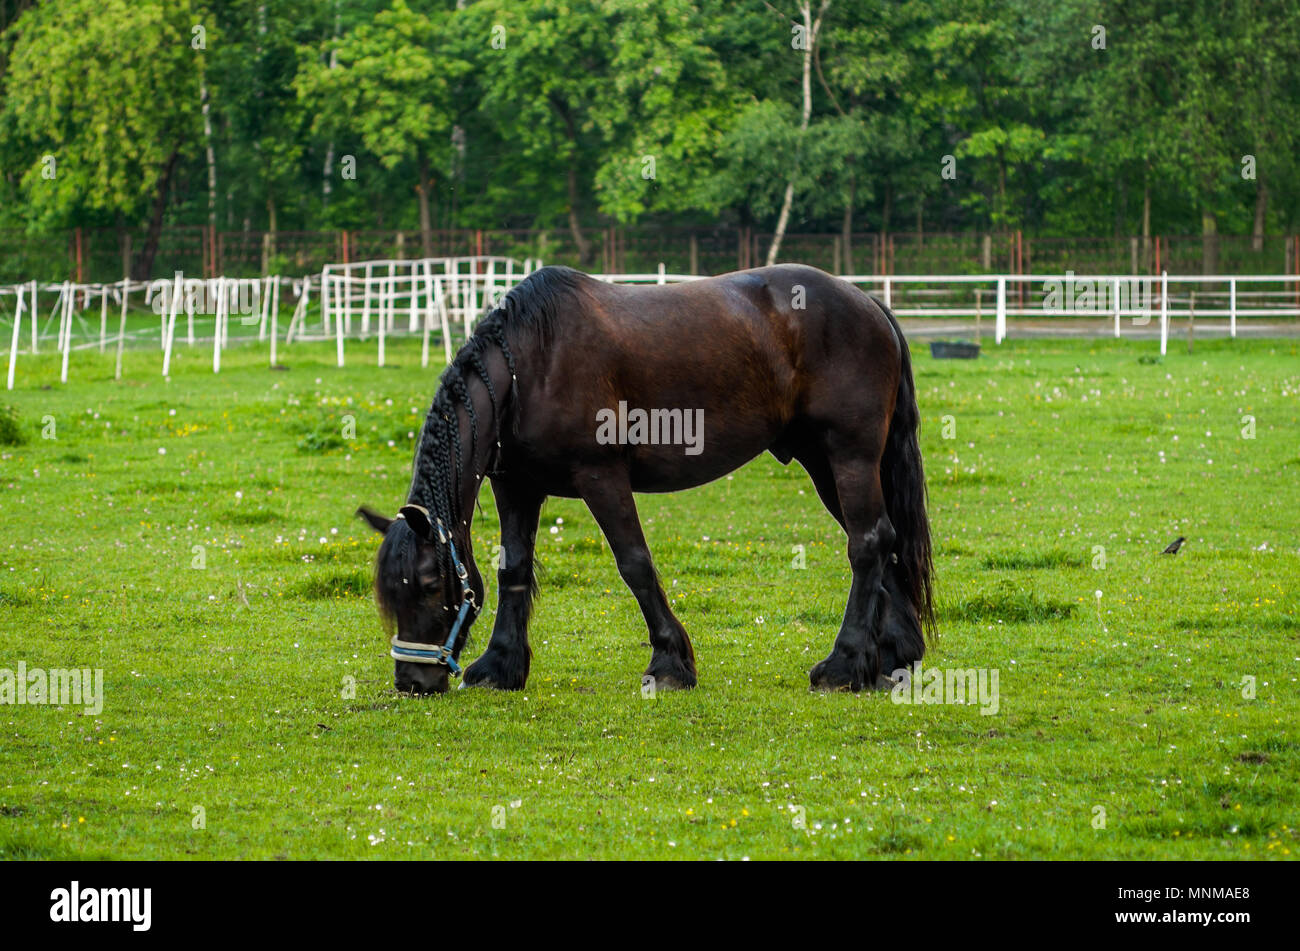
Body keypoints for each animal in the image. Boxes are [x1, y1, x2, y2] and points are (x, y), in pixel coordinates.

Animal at [358, 263, 935, 696]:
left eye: (429, 584)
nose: (412, 681)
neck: (532, 365)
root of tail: (866, 303)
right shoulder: (517, 486)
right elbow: (513, 568)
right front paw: (501, 666)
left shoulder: (601, 476)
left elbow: (634, 564)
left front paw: (670, 663)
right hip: (822, 461)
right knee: (883, 542)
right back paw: (891, 657)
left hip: (849, 455)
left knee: (867, 543)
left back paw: (843, 665)